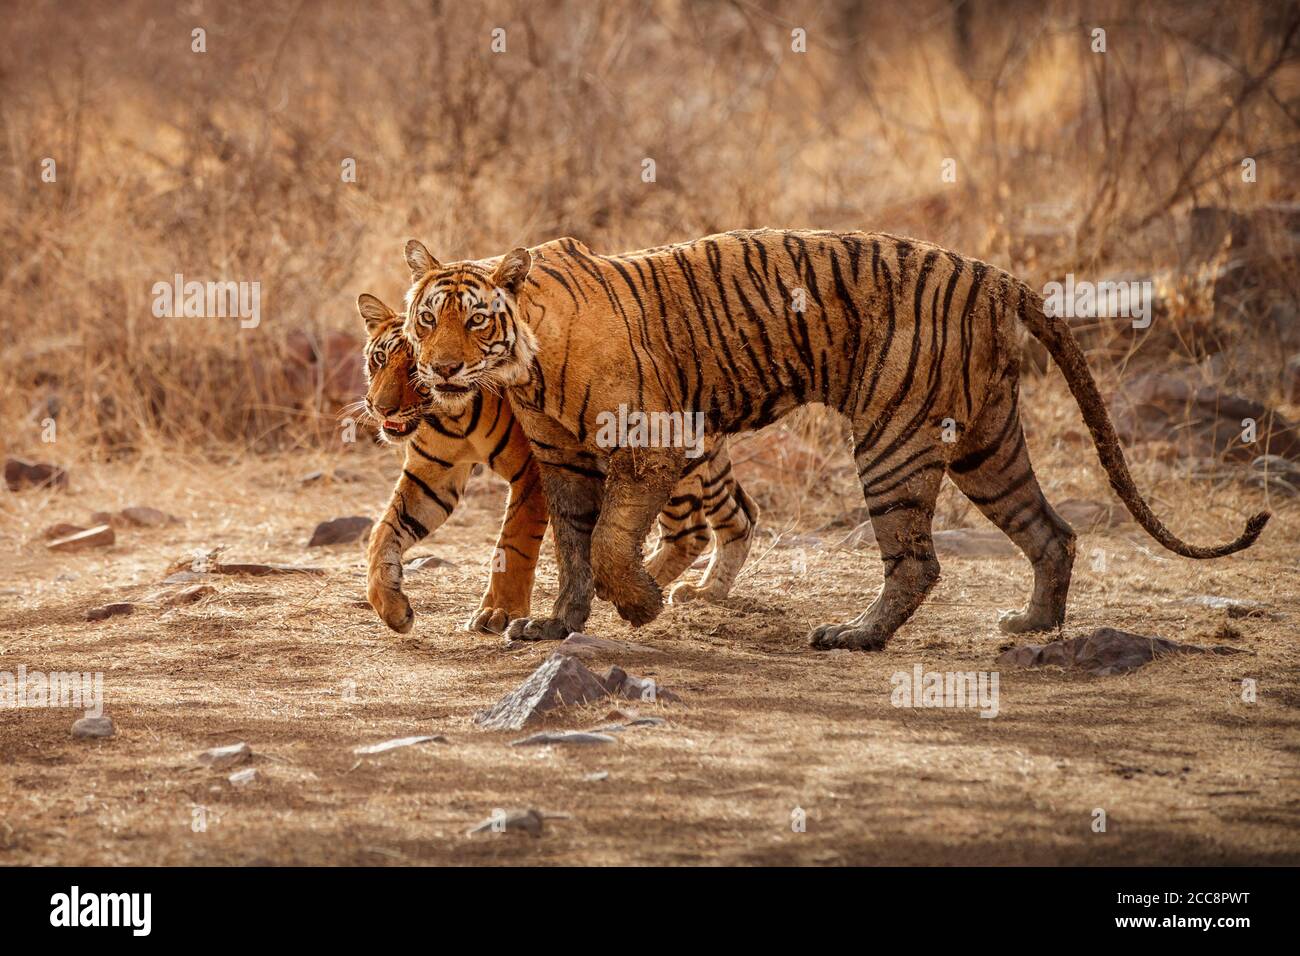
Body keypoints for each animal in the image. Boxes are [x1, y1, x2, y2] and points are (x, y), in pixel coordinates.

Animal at [357, 293, 758, 636]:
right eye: (380, 359)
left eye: (415, 369)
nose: (380, 407)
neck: (449, 413)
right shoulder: (431, 475)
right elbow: (384, 532)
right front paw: (392, 608)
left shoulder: (534, 469)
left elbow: (514, 543)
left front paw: (498, 612)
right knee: (740, 514)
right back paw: (705, 592)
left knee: (690, 530)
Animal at [398, 230, 1269, 650]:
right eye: (424, 317)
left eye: (474, 320)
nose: (440, 367)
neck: (528, 367)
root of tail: (994, 275)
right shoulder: (565, 459)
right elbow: (575, 547)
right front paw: (556, 625)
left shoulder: (653, 443)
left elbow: (611, 543)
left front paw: (642, 605)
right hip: (986, 443)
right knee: (1050, 532)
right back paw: (1030, 628)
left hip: (893, 440)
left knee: (918, 562)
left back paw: (856, 637)